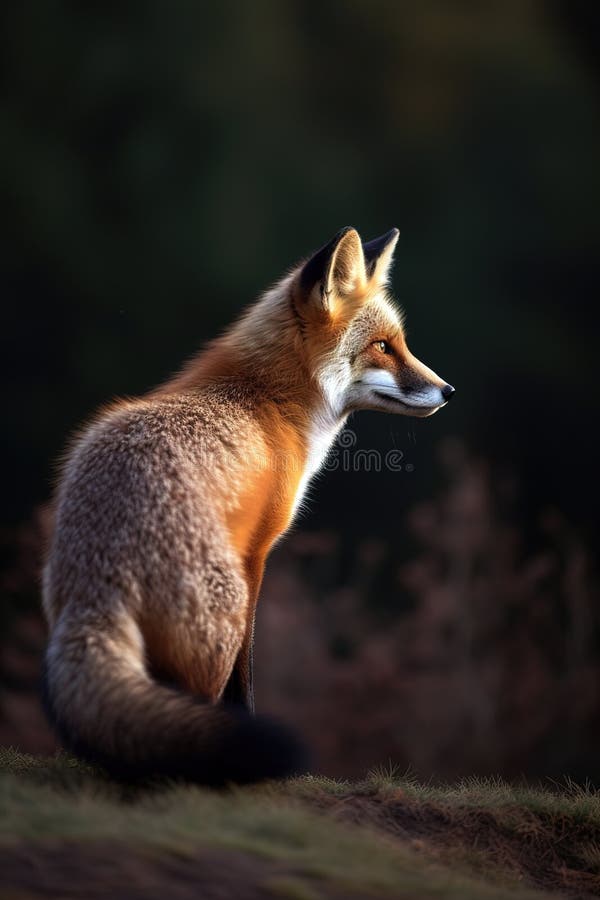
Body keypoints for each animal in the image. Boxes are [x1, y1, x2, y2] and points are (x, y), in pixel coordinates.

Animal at [42, 226, 455, 784]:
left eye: (401, 344)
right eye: (382, 347)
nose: (447, 390)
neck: (266, 402)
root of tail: (100, 580)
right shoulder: (256, 554)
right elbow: (247, 674)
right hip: (222, 613)